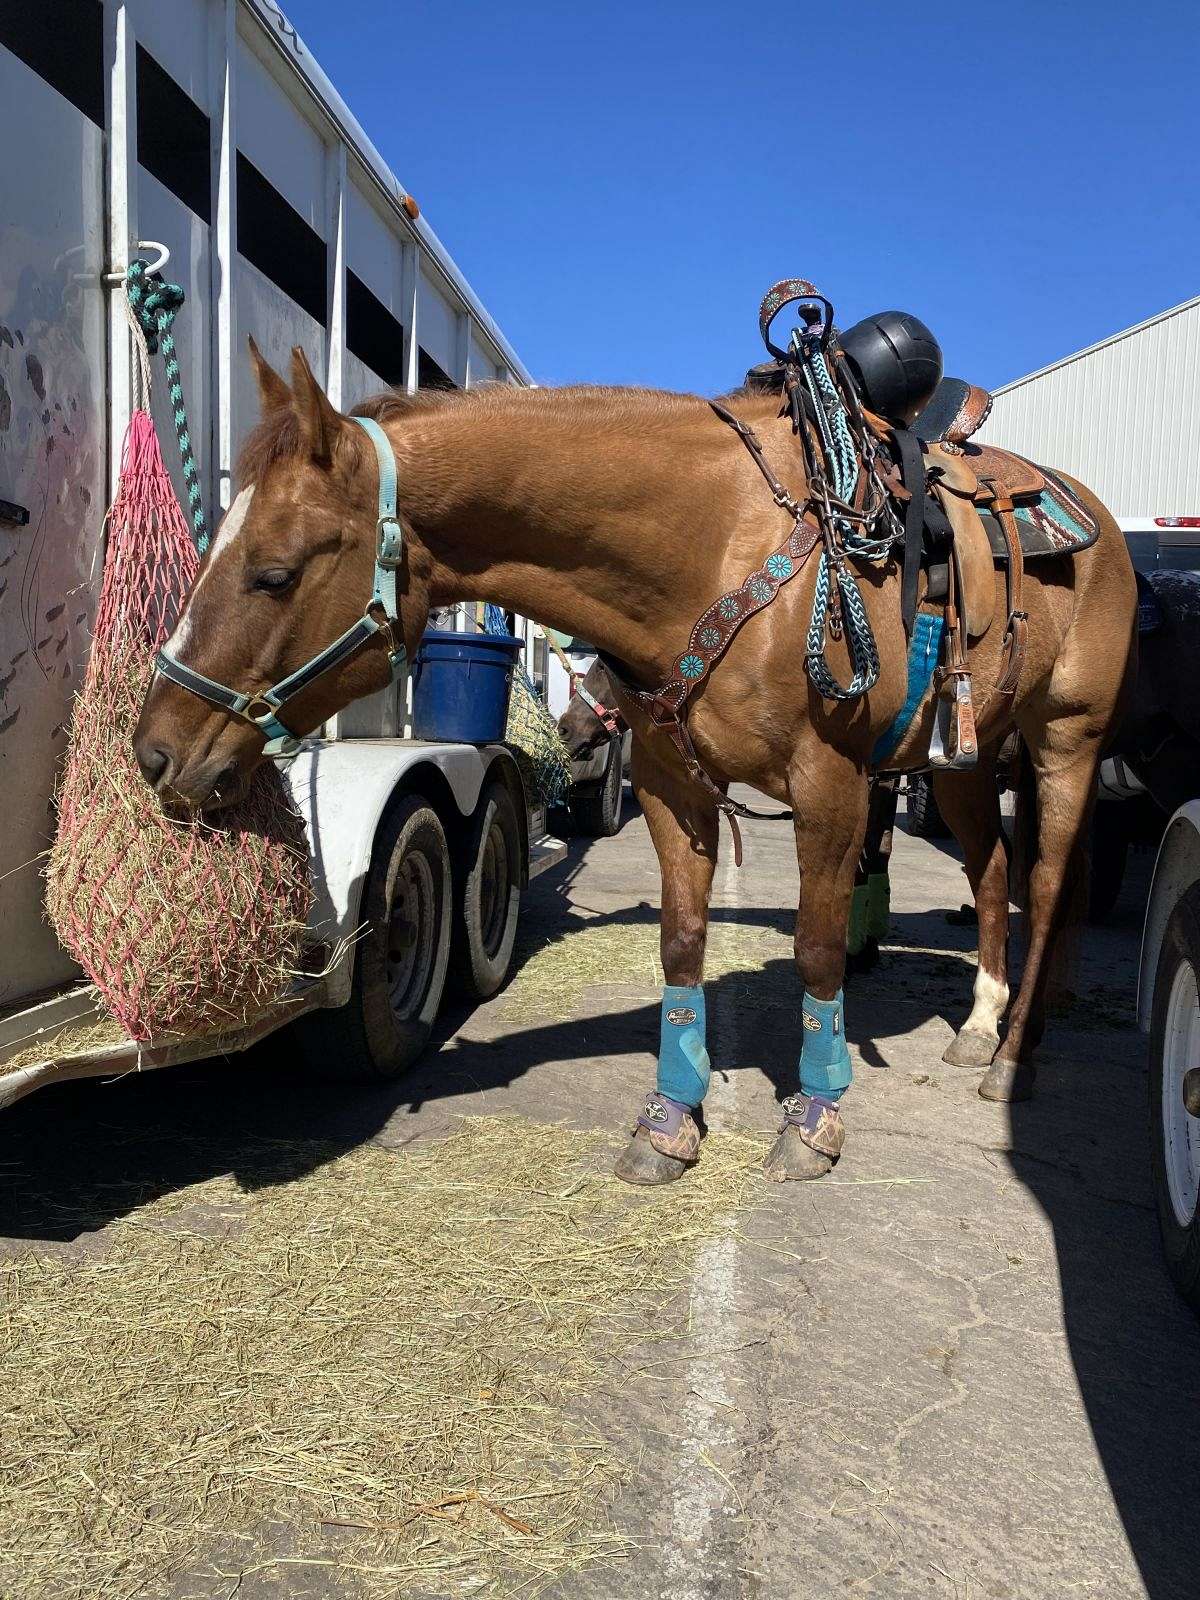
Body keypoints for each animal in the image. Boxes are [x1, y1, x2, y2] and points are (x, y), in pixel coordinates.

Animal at [132, 311, 1137, 1187]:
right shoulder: (670, 786)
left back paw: (1015, 1058)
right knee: (994, 873)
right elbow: (681, 944)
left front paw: (815, 1121)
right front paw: (668, 1121)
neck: (722, 546)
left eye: (274, 573)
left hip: (1065, 741)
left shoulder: (832, 786)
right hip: (963, 757)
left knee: (1048, 883)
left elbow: (816, 947)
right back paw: (981, 1025)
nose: (155, 753)